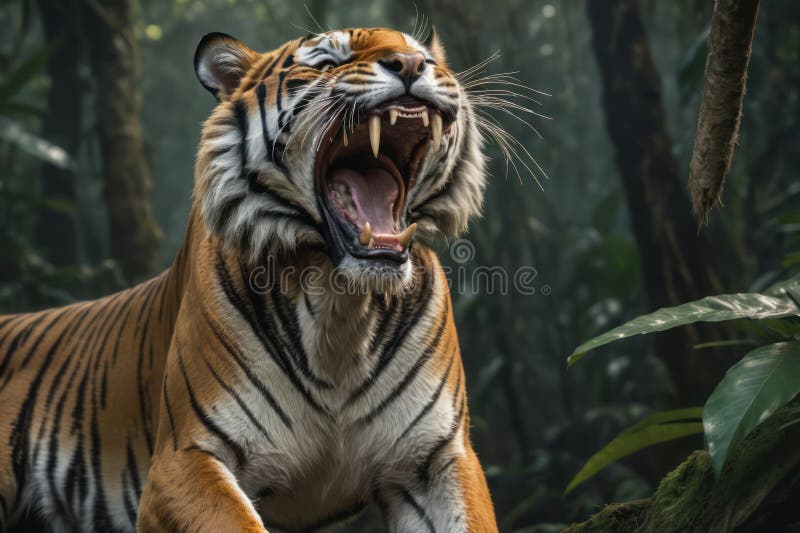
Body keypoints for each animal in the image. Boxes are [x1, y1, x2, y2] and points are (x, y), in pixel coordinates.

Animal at [0, 28, 499, 532]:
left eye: (422, 55)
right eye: (327, 61)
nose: (411, 64)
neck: (340, 306)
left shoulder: (436, 458)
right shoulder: (184, 457)